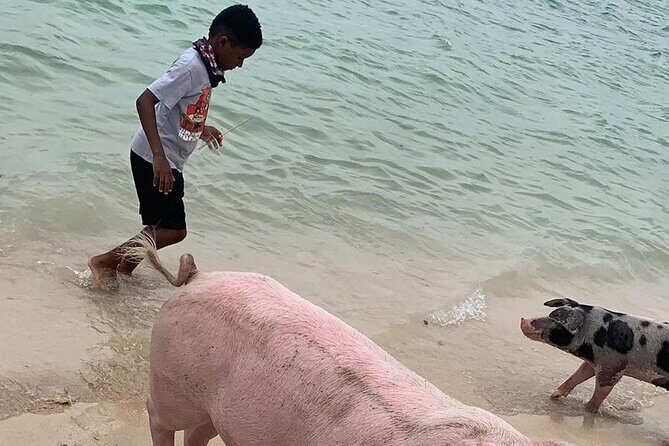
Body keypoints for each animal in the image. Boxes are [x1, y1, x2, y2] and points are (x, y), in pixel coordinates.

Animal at [521, 298, 669, 413]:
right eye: (550, 313)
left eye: (557, 319)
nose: (523, 319)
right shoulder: (593, 362)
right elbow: (576, 376)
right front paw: (554, 396)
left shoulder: (612, 367)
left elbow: (600, 393)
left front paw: (587, 410)